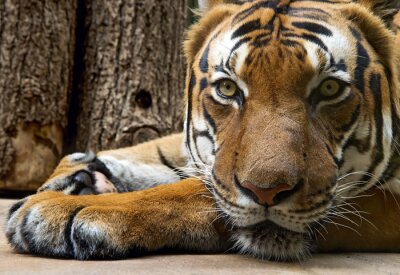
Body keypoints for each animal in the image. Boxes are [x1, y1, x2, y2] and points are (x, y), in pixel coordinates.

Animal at [4, 0, 400, 262]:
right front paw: (79, 175)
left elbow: (194, 192)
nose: (266, 192)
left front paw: (65, 207)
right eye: (227, 89)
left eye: (330, 89)